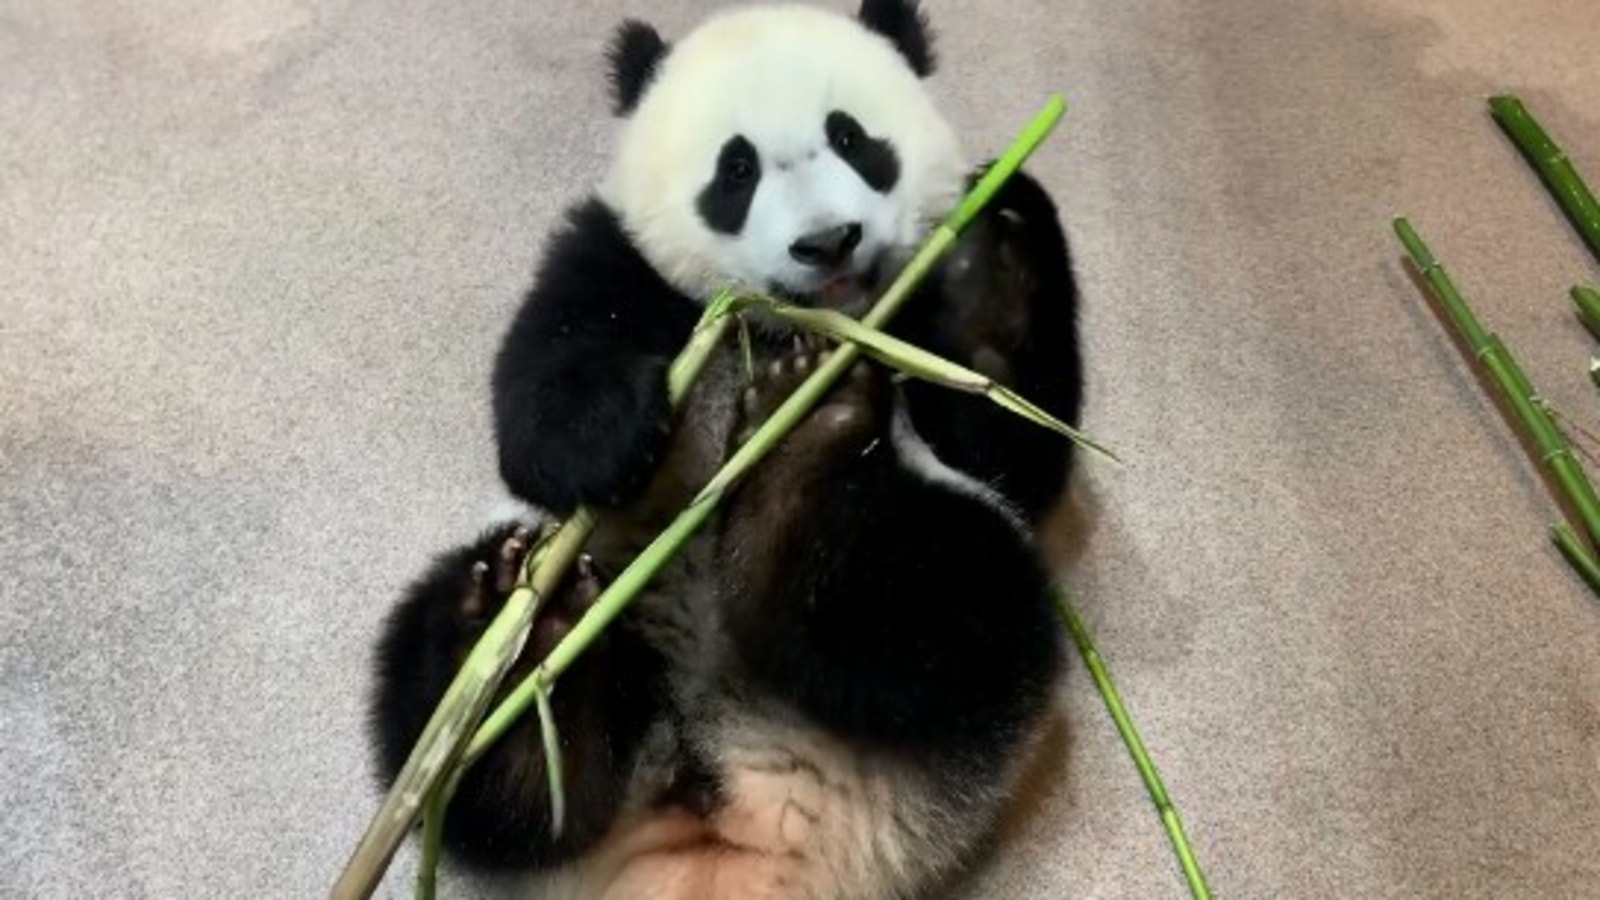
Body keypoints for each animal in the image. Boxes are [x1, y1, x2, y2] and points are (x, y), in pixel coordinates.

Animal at [369, 2, 1085, 899]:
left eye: (852, 138)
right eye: (735, 171)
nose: (828, 242)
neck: (793, 324)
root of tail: (734, 821)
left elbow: (1012, 444)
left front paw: (992, 251)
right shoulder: (622, 258)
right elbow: (544, 381)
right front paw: (610, 435)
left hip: (953, 669)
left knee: (943, 601)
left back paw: (804, 454)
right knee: (453, 724)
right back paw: (523, 646)